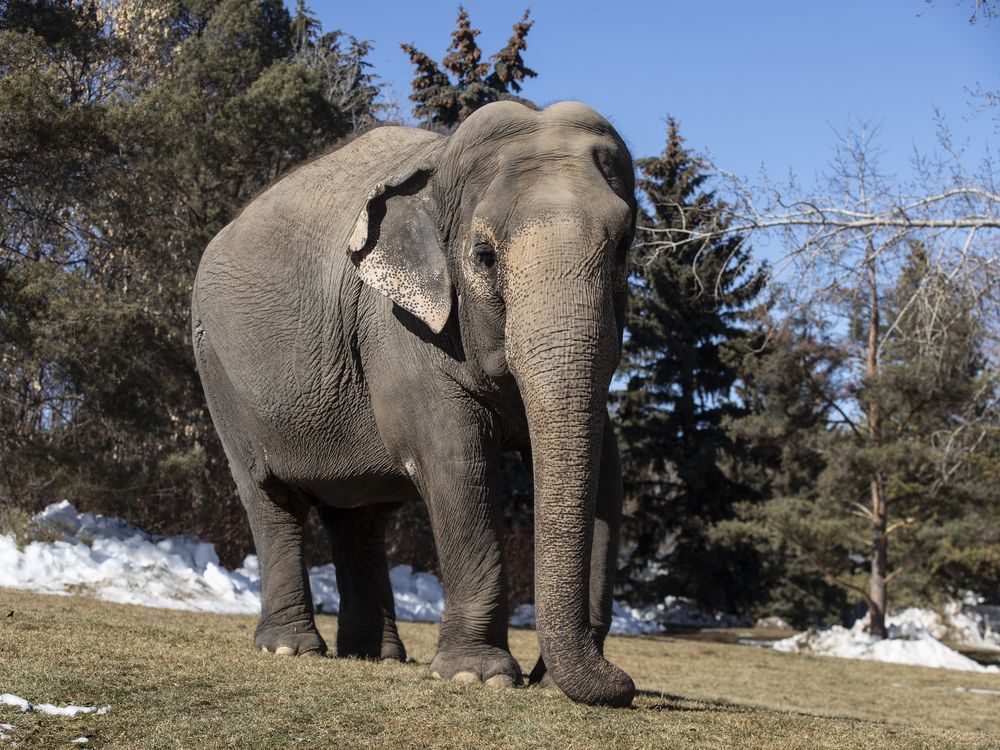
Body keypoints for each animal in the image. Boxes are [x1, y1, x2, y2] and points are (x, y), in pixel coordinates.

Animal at [191, 100, 637, 707]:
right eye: (484, 255)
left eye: (624, 248)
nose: (627, 683)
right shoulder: (398, 329)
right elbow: (456, 466)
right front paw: (479, 677)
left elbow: (609, 474)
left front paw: (547, 680)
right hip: (218, 372)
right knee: (269, 496)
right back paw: (289, 649)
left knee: (357, 517)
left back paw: (373, 655)